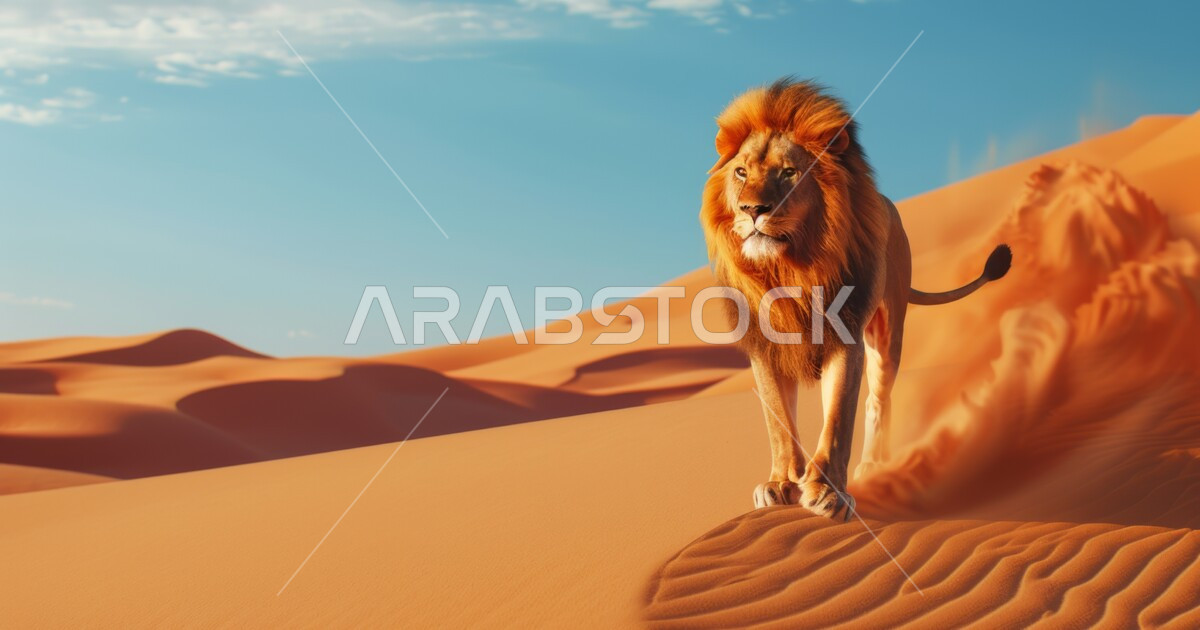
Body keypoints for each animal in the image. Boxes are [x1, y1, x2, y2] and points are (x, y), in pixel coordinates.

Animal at [700, 78, 1011, 520]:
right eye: (741, 172)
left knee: (879, 399)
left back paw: (874, 465)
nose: (751, 209)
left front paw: (828, 494)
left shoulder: (845, 334)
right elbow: (779, 422)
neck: (791, 268)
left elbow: (838, 419)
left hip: (887, 332)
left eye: (789, 173)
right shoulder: (765, 345)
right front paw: (781, 483)